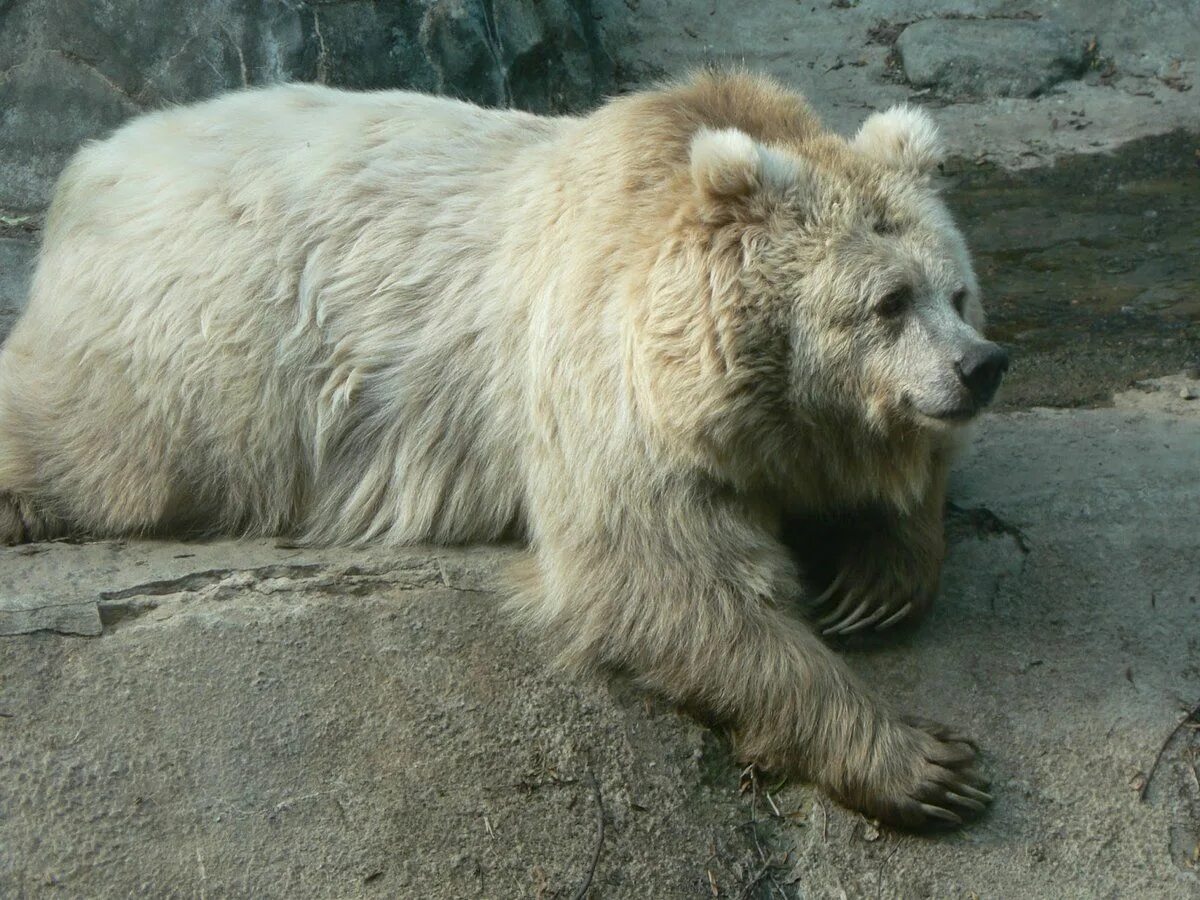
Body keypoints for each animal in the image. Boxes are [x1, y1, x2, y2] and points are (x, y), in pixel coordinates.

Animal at [0, 70, 1007, 827]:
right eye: (888, 301)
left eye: (958, 292)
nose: (981, 367)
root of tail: (91, 165)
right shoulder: (610, 387)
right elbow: (665, 578)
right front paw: (925, 762)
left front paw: (873, 578)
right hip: (195, 361)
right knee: (95, 444)